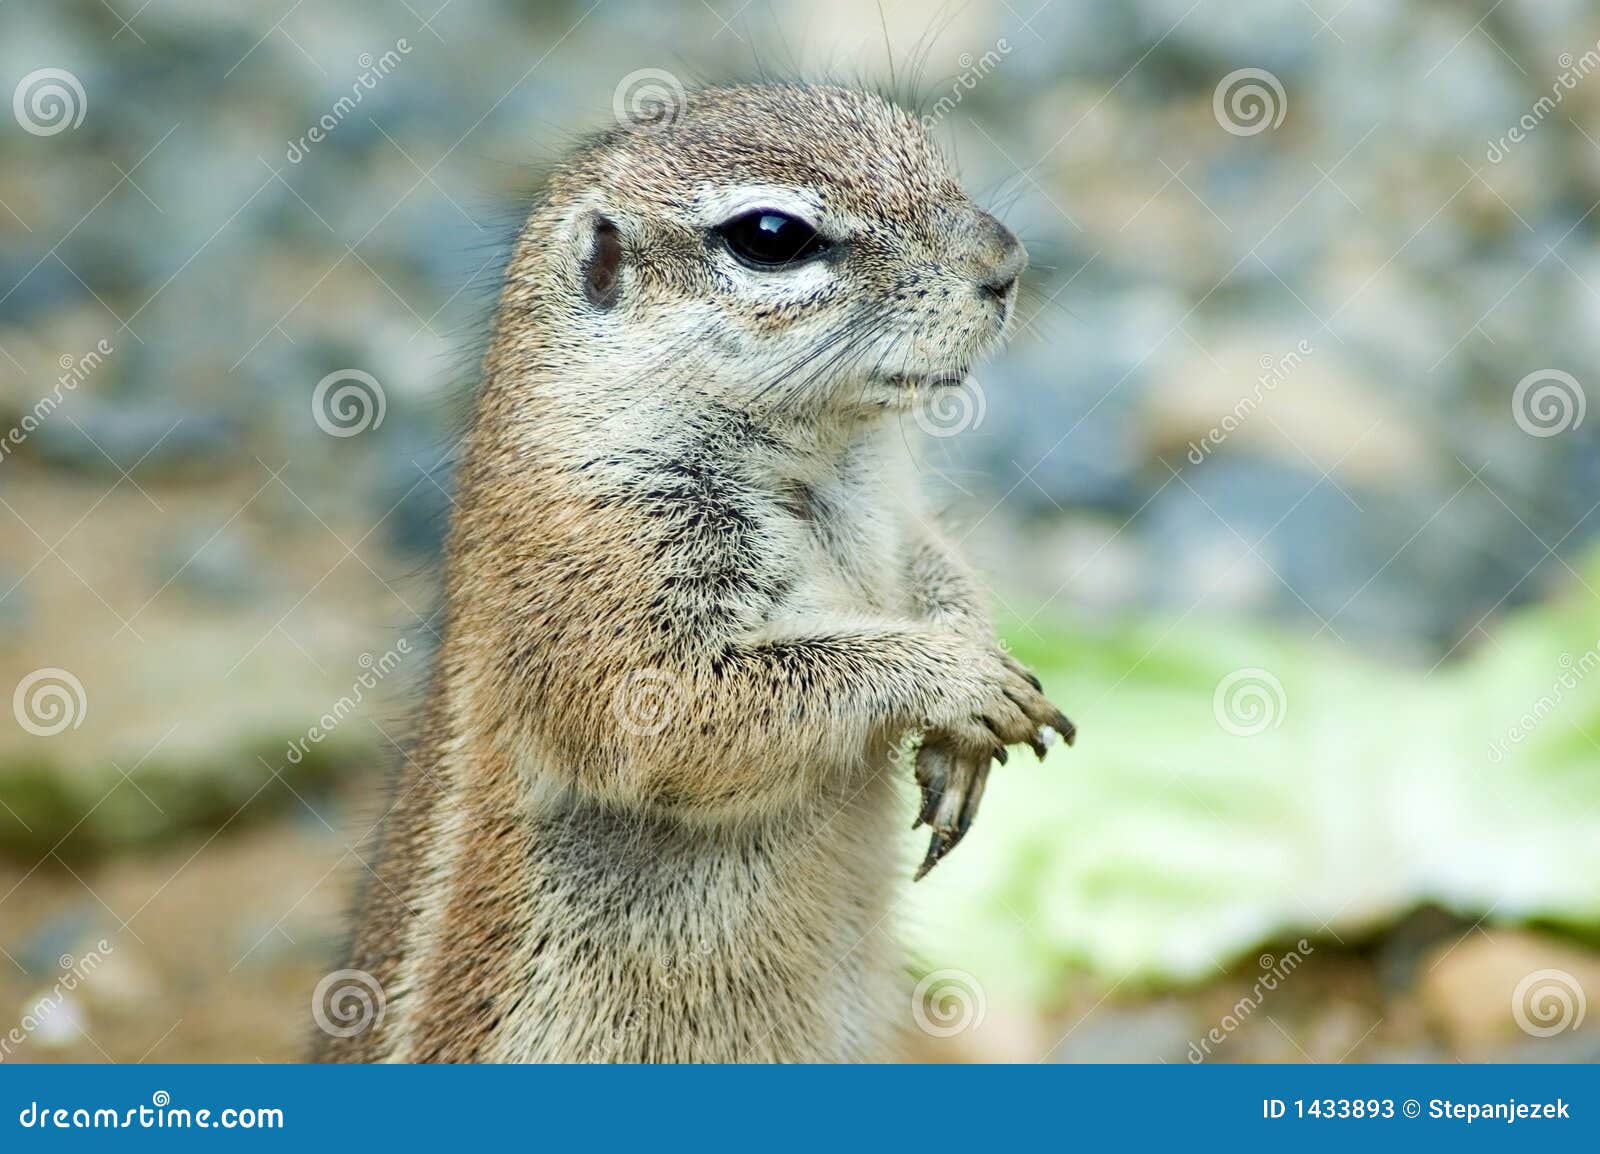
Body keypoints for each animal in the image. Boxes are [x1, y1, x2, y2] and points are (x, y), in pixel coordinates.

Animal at [322, 83, 1074, 1063]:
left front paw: (976, 690)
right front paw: (959, 679)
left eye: (915, 137)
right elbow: (677, 714)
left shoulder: (897, 519)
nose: (1005, 262)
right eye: (771, 235)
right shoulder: (599, 562)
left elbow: (938, 570)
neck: (821, 458)